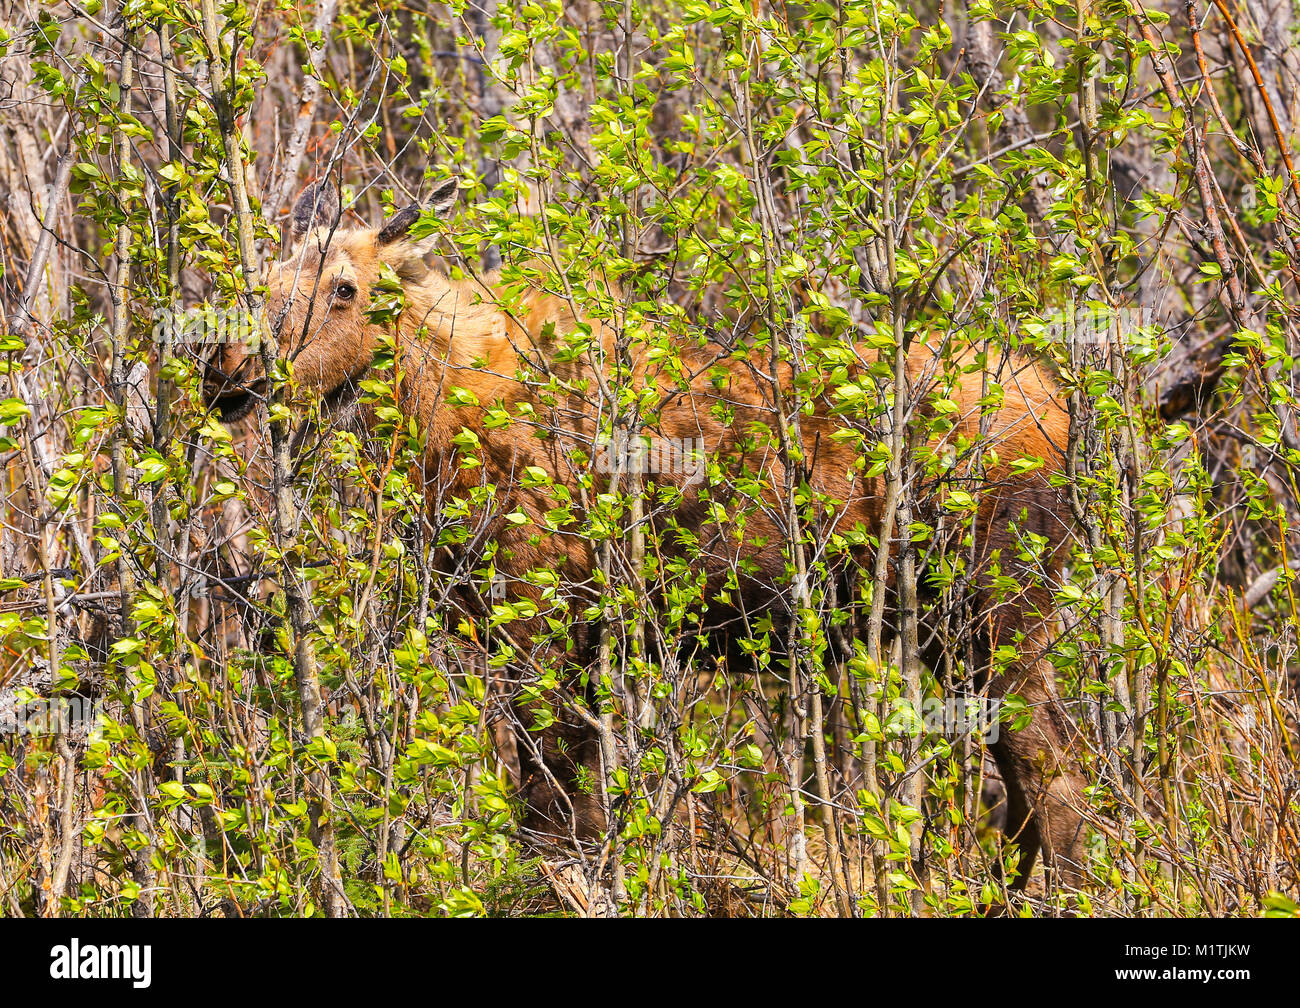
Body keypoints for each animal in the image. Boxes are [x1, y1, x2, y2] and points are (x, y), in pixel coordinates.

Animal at [204, 178, 1089, 892]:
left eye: (345, 289)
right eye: (265, 277)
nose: (224, 367)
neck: (436, 415)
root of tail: (1063, 406)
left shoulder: (544, 611)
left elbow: (550, 797)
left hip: (994, 616)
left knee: (1049, 767)